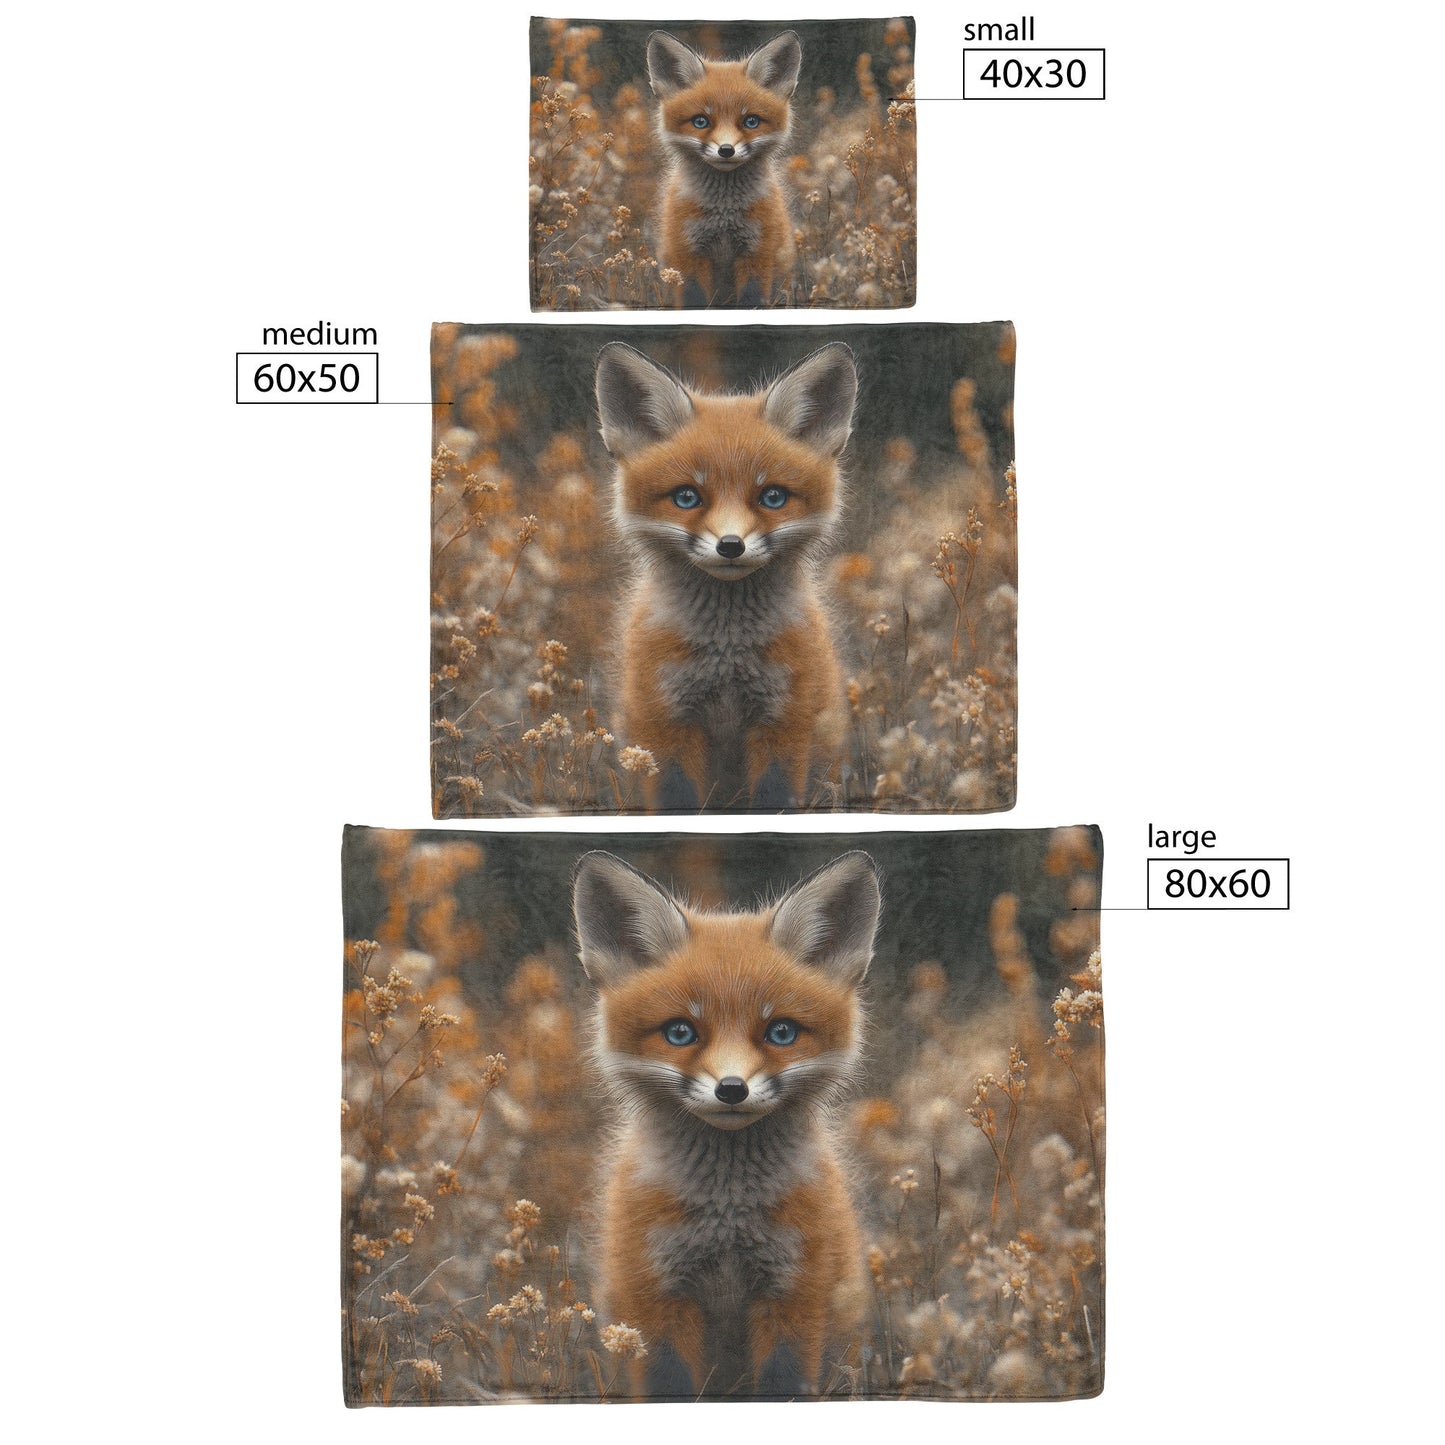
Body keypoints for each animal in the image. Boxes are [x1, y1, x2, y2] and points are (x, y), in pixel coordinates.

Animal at [572, 848, 881, 1399]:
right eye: (680, 1032)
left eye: (781, 1032)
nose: (732, 1089)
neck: (727, 1212)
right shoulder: (656, 1295)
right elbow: (667, 1382)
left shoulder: (794, 1293)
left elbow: (785, 1383)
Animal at [594, 339, 859, 812]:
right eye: (687, 497)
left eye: (772, 497)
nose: (731, 545)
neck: (727, 650)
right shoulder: (665, 721)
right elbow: (675, 796)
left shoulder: (783, 721)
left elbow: (776, 796)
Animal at [646, 29, 802, 306]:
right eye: (700, 121)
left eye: (751, 121)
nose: (726, 150)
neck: (724, 213)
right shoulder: (689, 252)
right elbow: (693, 300)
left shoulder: (757, 252)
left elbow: (752, 301)